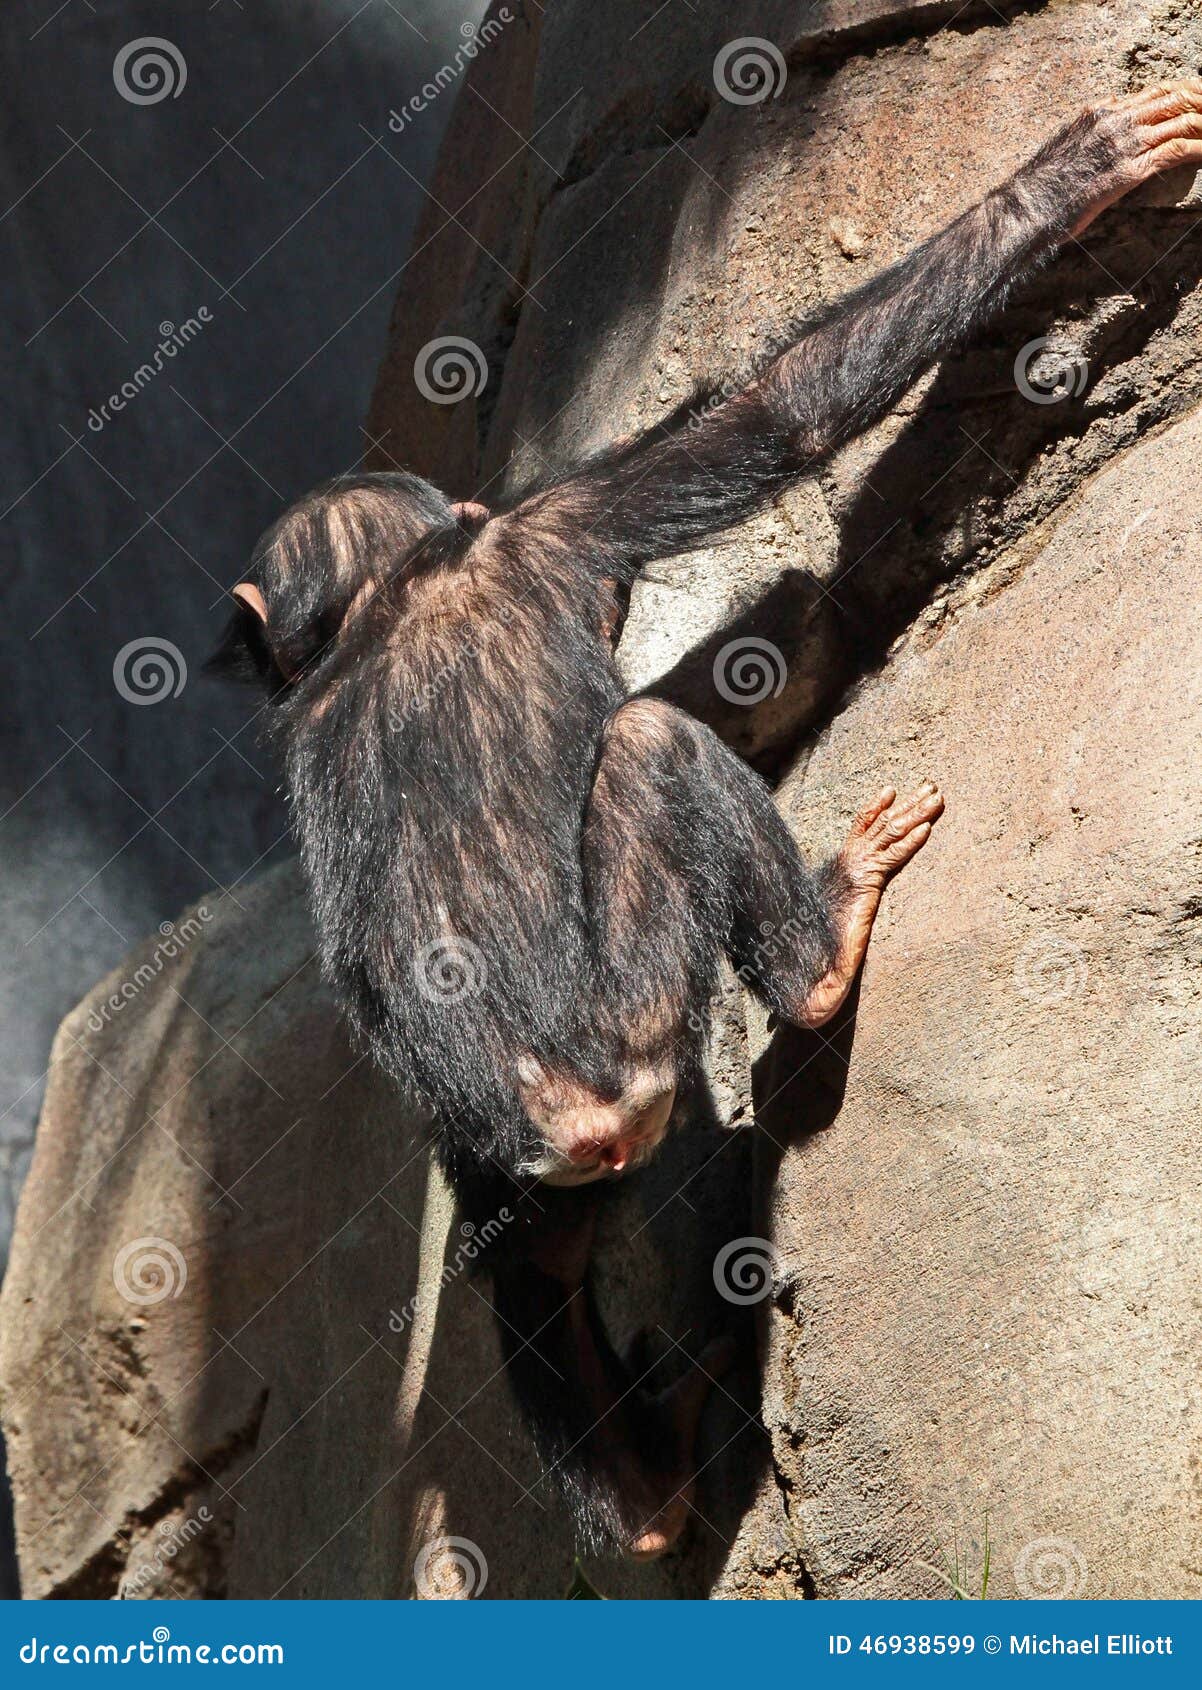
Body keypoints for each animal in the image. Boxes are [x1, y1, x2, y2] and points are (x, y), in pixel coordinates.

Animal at [208, 86, 1202, 1558]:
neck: (388, 599)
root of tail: (560, 1106)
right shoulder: (555, 525)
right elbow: (774, 419)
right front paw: (1068, 180)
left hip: (528, 1175)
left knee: (531, 1286)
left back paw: (641, 1492)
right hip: (634, 1036)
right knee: (653, 748)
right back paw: (821, 948)